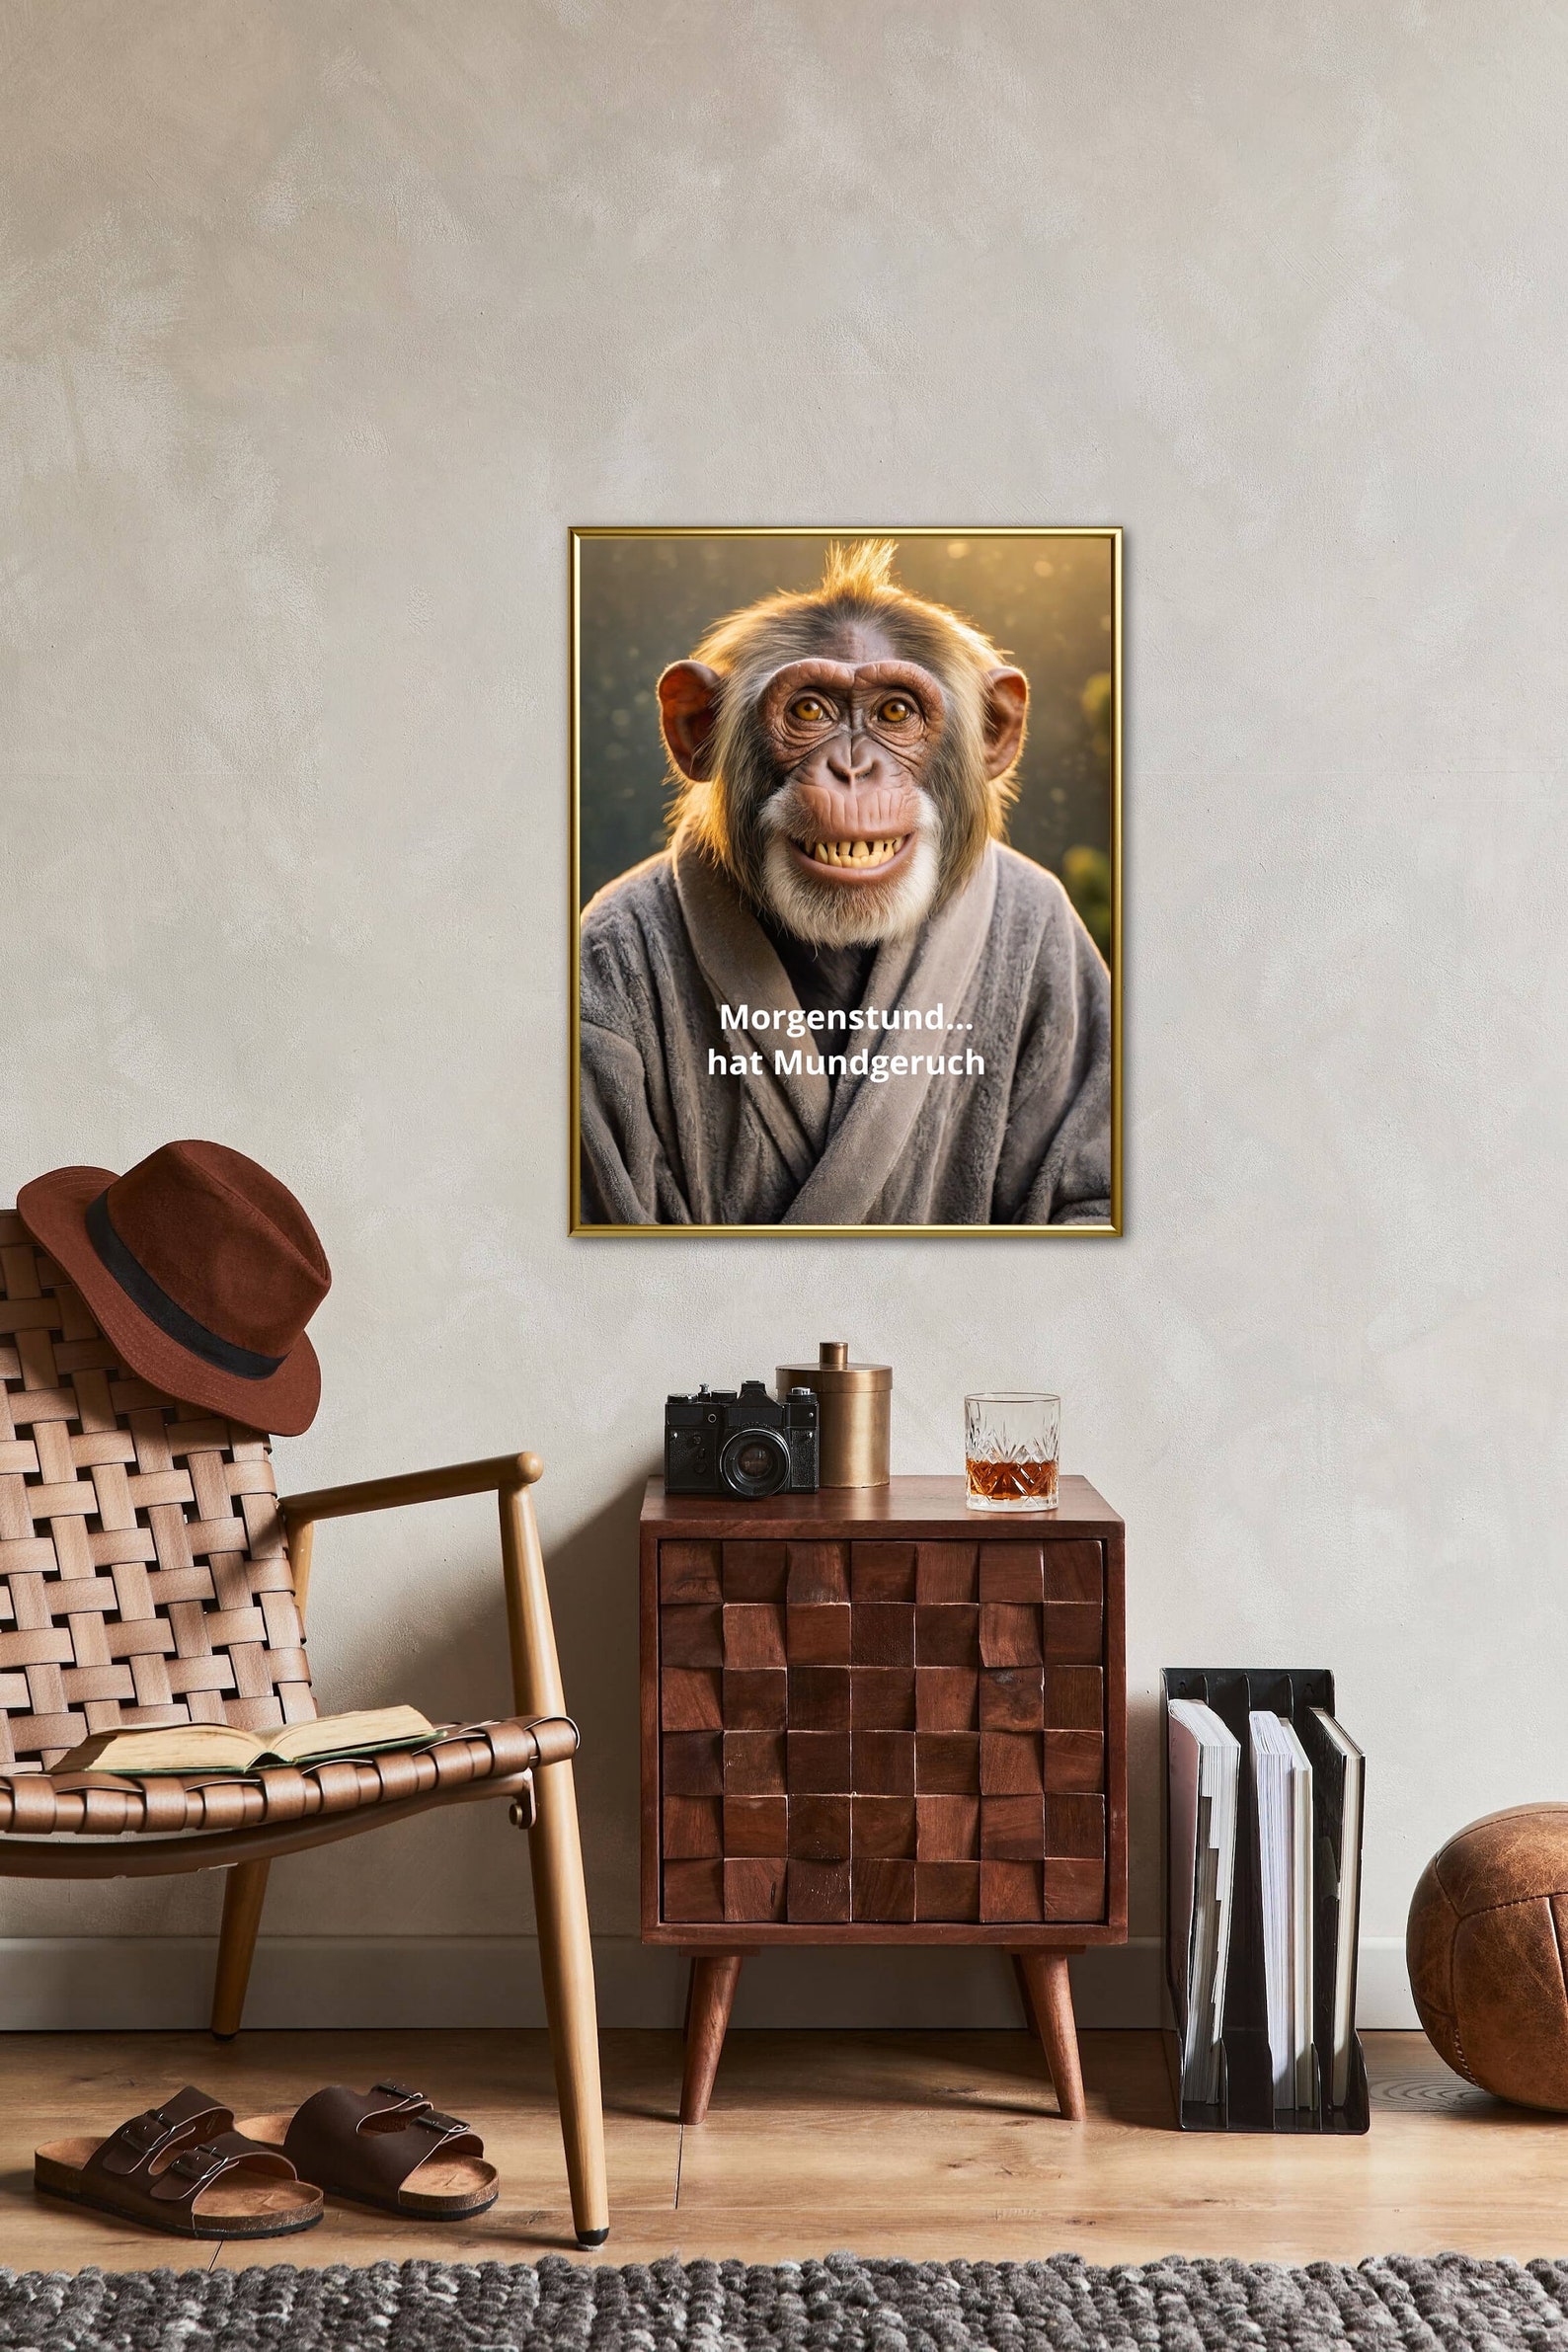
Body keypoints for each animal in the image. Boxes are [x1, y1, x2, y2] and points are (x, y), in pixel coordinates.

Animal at [579, 541, 1112, 1229]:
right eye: (809, 710)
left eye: (895, 712)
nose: (852, 768)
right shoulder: (597, 1007)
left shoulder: (1060, 955)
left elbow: (1081, 1189)